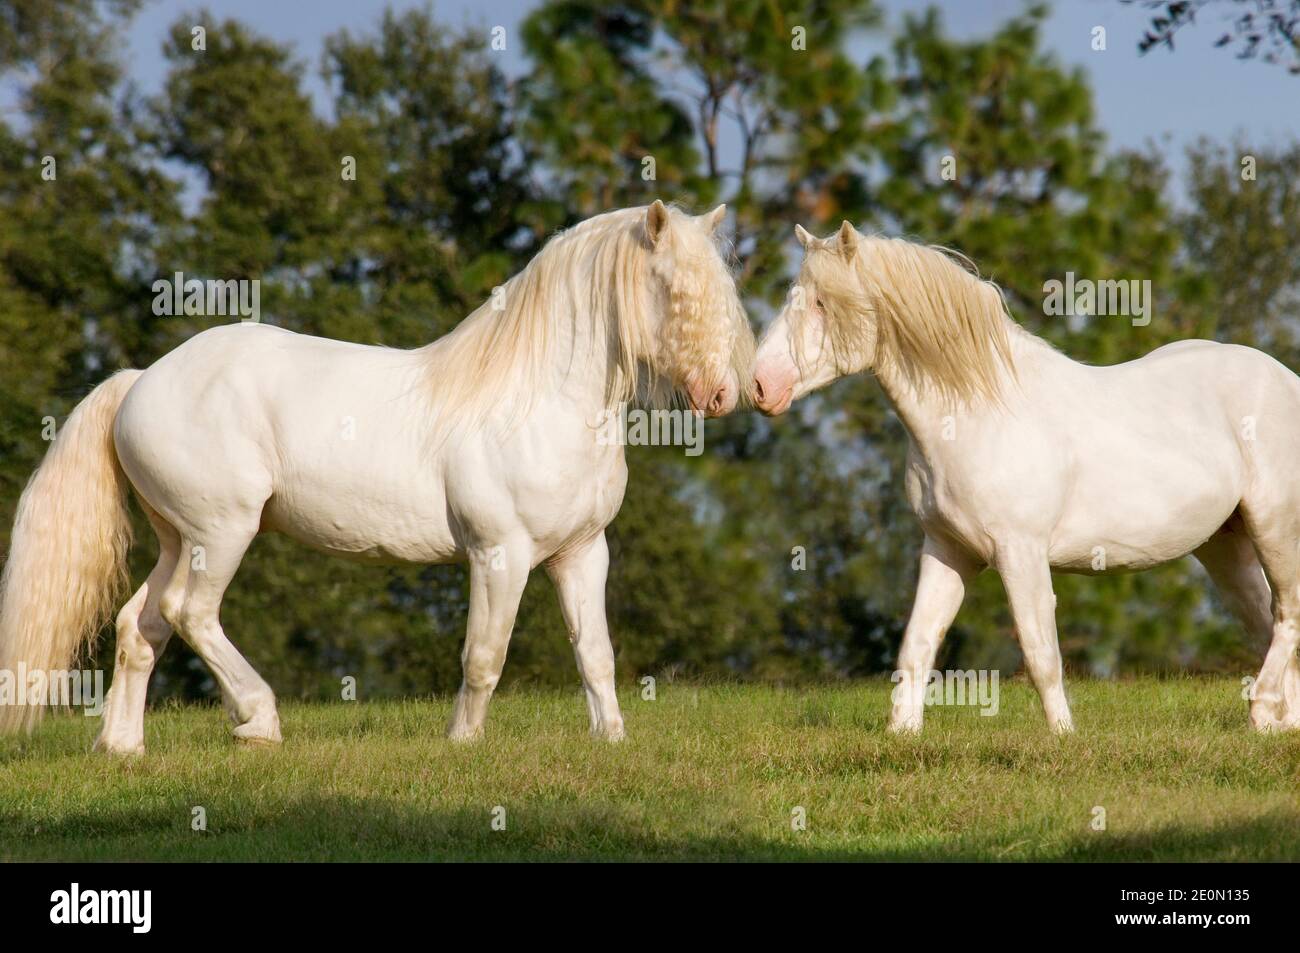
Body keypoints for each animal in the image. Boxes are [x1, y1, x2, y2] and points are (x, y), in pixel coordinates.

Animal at [0, 201, 754, 753]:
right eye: (674, 287)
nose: (723, 394)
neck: (536, 399)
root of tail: (138, 382)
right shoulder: (499, 554)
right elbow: (484, 655)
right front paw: (462, 743)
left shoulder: (581, 553)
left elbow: (595, 652)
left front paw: (612, 740)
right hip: (223, 531)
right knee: (193, 614)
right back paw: (258, 721)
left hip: (178, 539)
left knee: (141, 624)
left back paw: (123, 747)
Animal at [753, 220, 1300, 734]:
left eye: (822, 302)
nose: (760, 385)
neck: (977, 412)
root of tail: (1285, 379)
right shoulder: (947, 550)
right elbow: (917, 647)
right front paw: (902, 735)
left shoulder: (1021, 552)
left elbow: (1041, 655)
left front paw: (1063, 737)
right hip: (1224, 544)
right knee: (1267, 621)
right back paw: (1281, 722)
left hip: (1274, 528)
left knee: (1286, 614)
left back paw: (1261, 711)